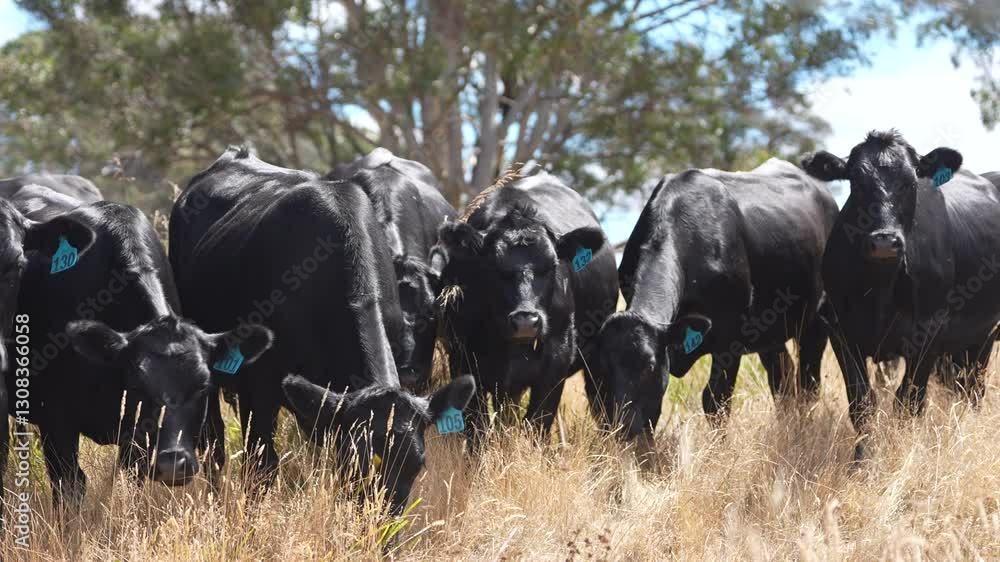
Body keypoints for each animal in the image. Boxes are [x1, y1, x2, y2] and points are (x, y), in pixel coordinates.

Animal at [3, 199, 272, 507]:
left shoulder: (136, 437)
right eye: (137, 386)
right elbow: (69, 487)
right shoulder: (57, 420)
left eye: (204, 386)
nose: (173, 464)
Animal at [432, 171, 619, 443]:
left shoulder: (557, 355)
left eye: (552, 265)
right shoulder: (463, 357)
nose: (526, 322)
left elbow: (538, 422)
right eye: (494, 267)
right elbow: (477, 426)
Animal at [590, 159, 837, 445]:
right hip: (770, 333)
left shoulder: (730, 340)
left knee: (809, 384)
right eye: (603, 366)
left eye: (649, 365)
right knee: (783, 380)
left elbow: (716, 400)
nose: (624, 427)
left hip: (816, 322)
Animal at [801, 130, 1000, 460]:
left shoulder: (930, 333)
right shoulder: (841, 333)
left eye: (911, 182)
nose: (885, 241)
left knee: (973, 389)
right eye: (856, 182)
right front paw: (861, 460)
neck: (881, 287)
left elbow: (909, 402)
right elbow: (862, 403)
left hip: (982, 336)